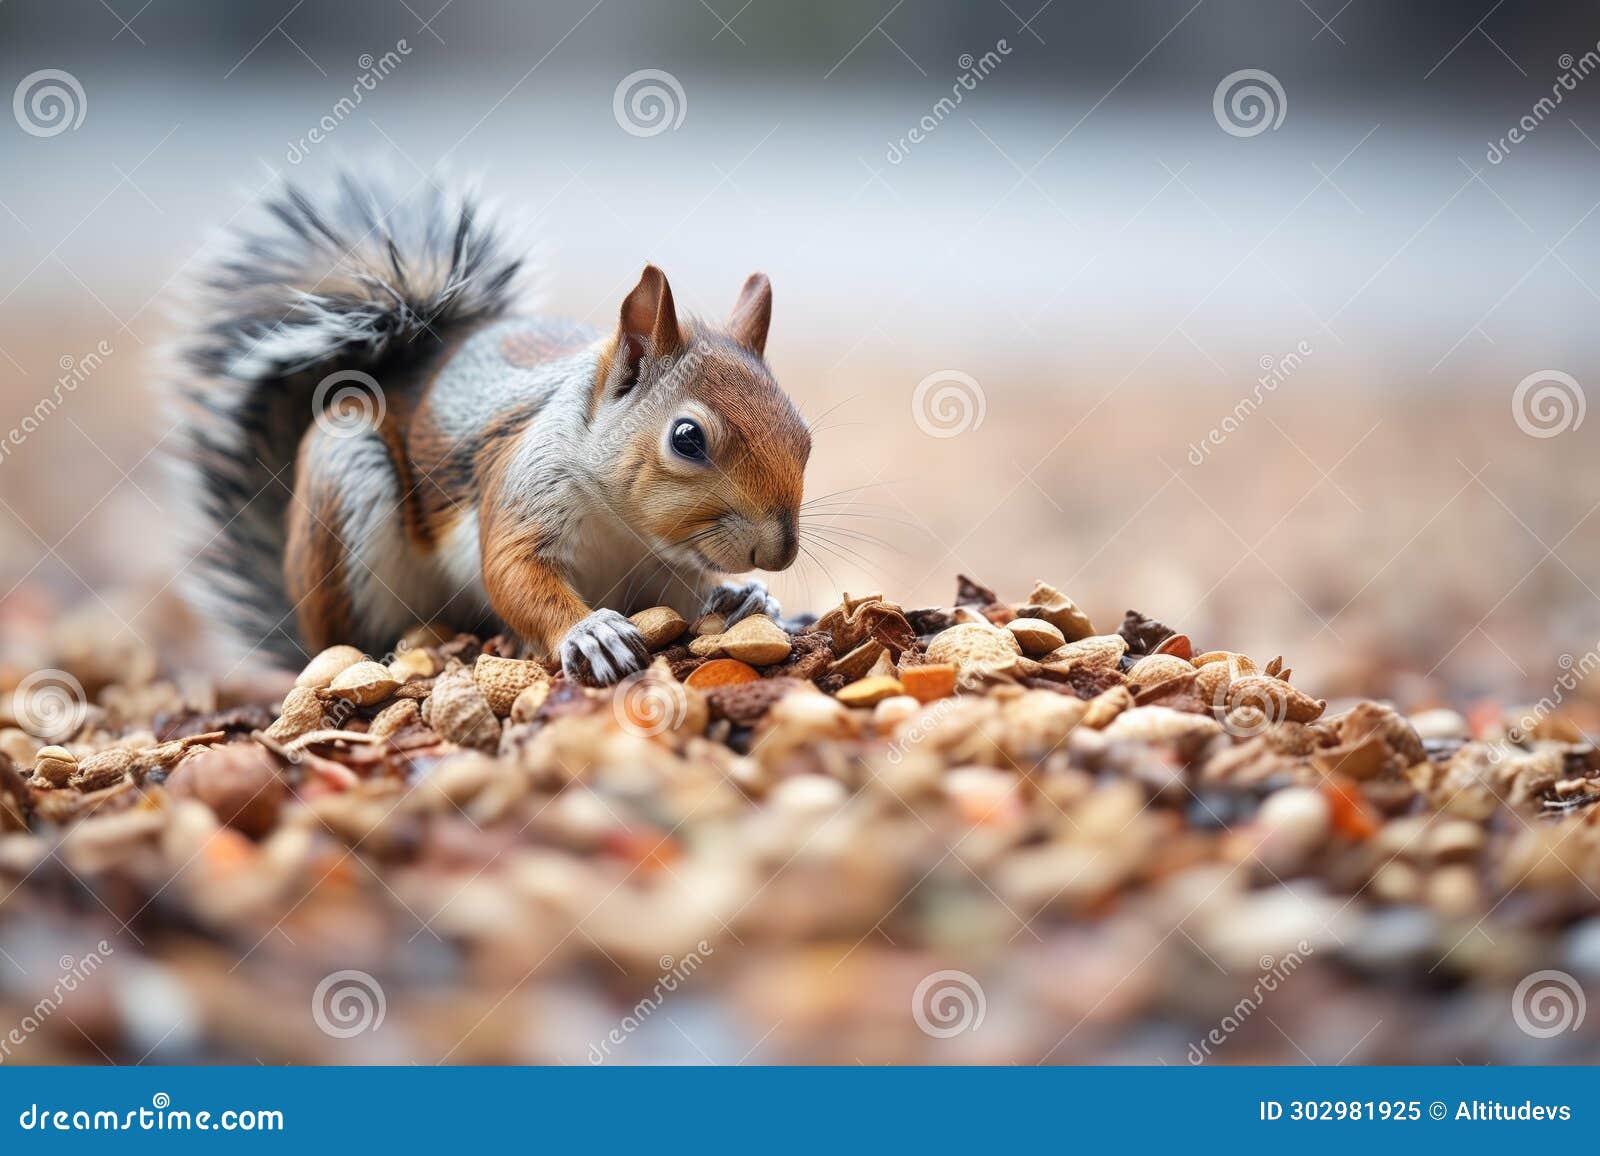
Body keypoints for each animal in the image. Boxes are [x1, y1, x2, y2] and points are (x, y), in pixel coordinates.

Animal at [170, 175, 810, 685]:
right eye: (686, 438)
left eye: (804, 435)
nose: (778, 555)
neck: (623, 529)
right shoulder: (523, 484)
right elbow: (512, 574)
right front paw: (590, 633)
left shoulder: (659, 566)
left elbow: (684, 594)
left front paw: (745, 595)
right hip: (345, 478)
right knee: (352, 638)